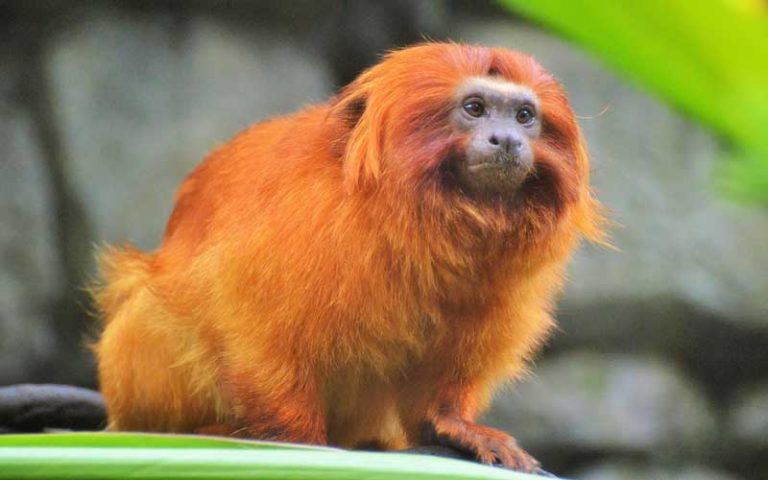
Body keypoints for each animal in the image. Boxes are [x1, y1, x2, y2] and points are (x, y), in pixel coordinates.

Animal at [92, 43, 605, 473]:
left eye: (524, 116)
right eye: (474, 108)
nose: (507, 140)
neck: (420, 225)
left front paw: (451, 423)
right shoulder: (296, 233)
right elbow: (259, 334)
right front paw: (297, 440)